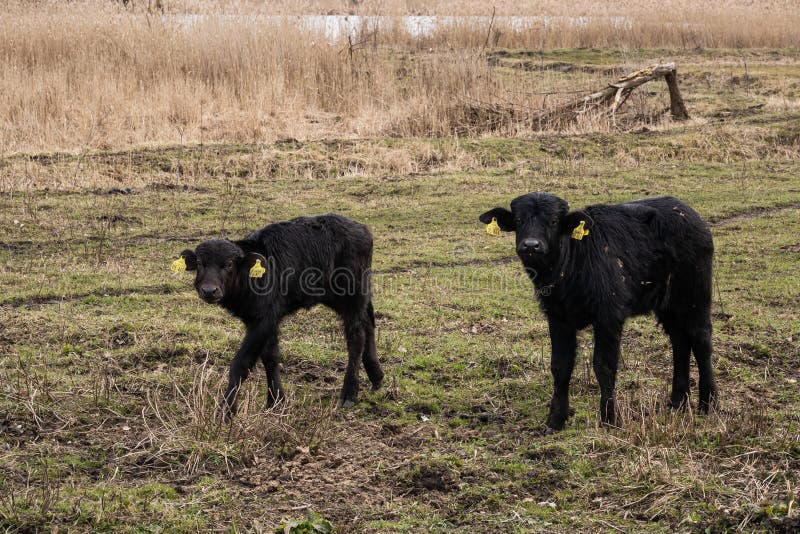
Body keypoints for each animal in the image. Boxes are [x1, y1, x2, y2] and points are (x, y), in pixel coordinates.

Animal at [175, 214, 384, 421]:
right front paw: (276, 401)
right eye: (200, 263)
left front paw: (226, 411)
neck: (252, 278)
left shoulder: (263, 321)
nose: (209, 291)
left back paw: (349, 393)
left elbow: (241, 363)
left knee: (357, 338)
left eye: (228, 264)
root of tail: (361, 229)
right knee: (369, 322)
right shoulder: (265, 320)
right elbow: (271, 357)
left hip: (352, 296)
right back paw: (377, 376)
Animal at [479, 192, 717, 430]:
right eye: (519, 220)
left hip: (695, 296)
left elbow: (604, 367)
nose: (531, 245)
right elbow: (560, 366)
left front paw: (609, 419)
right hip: (668, 305)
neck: (572, 265)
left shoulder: (609, 318)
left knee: (701, 341)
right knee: (680, 342)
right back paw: (677, 402)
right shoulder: (557, 318)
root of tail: (688, 214)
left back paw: (708, 404)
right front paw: (555, 420)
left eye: (553, 221)